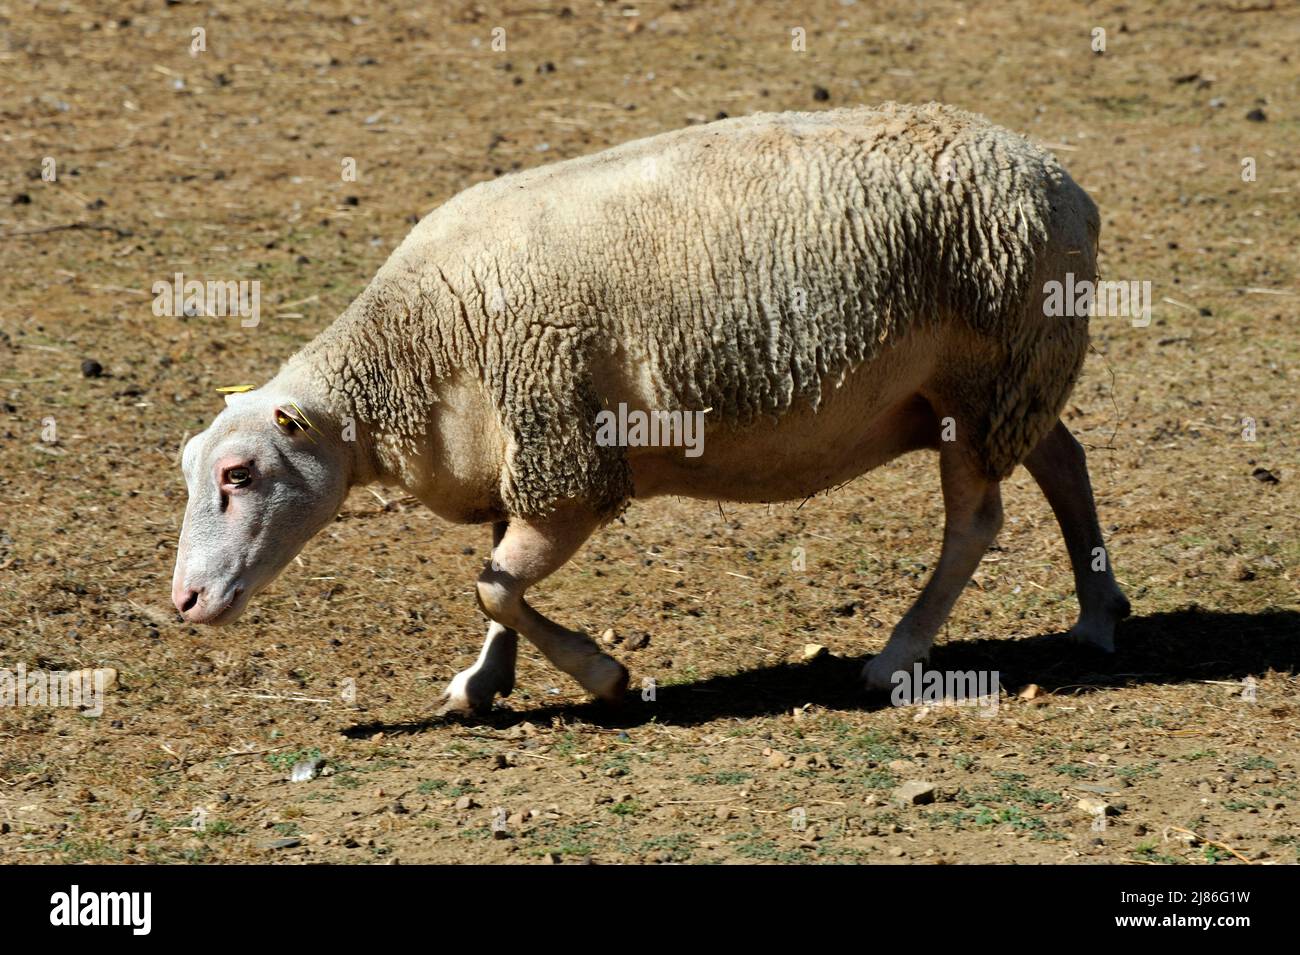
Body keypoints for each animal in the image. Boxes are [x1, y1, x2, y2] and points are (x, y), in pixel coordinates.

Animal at [172, 102, 1130, 714]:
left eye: (239, 473)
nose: (185, 600)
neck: (412, 343)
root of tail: (1064, 182)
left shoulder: (567, 466)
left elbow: (493, 586)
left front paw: (602, 676)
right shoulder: (521, 456)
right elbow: (494, 583)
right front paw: (482, 683)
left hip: (985, 379)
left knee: (975, 522)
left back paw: (897, 656)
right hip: (1011, 379)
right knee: (1065, 461)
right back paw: (1097, 614)